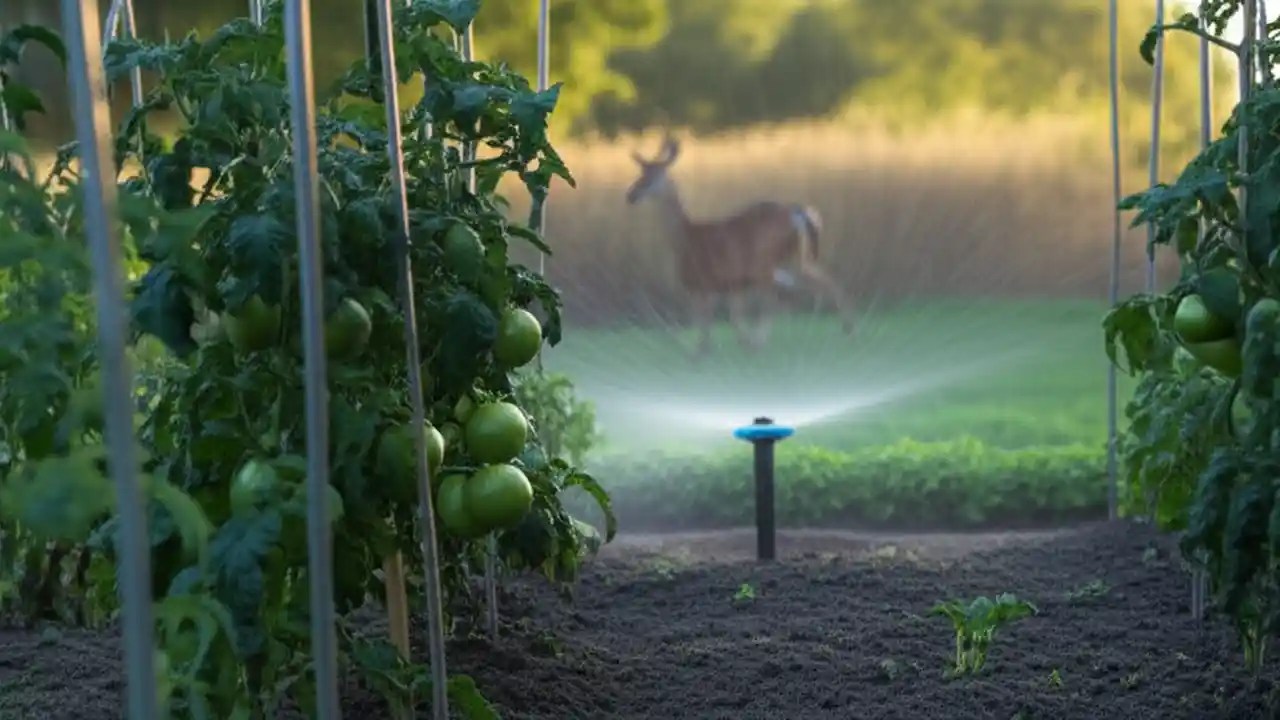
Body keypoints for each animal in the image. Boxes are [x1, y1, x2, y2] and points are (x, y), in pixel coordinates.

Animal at [625, 135, 855, 357]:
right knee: (822, 282)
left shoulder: (703, 283)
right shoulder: (730, 285)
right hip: (792, 260)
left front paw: (702, 352)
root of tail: (796, 211)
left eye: (653, 177)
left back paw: (760, 343)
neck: (685, 238)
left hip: (765, 263)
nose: (631, 195)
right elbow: (725, 320)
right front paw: (719, 347)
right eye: (640, 174)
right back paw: (845, 327)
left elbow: (709, 321)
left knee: (775, 300)